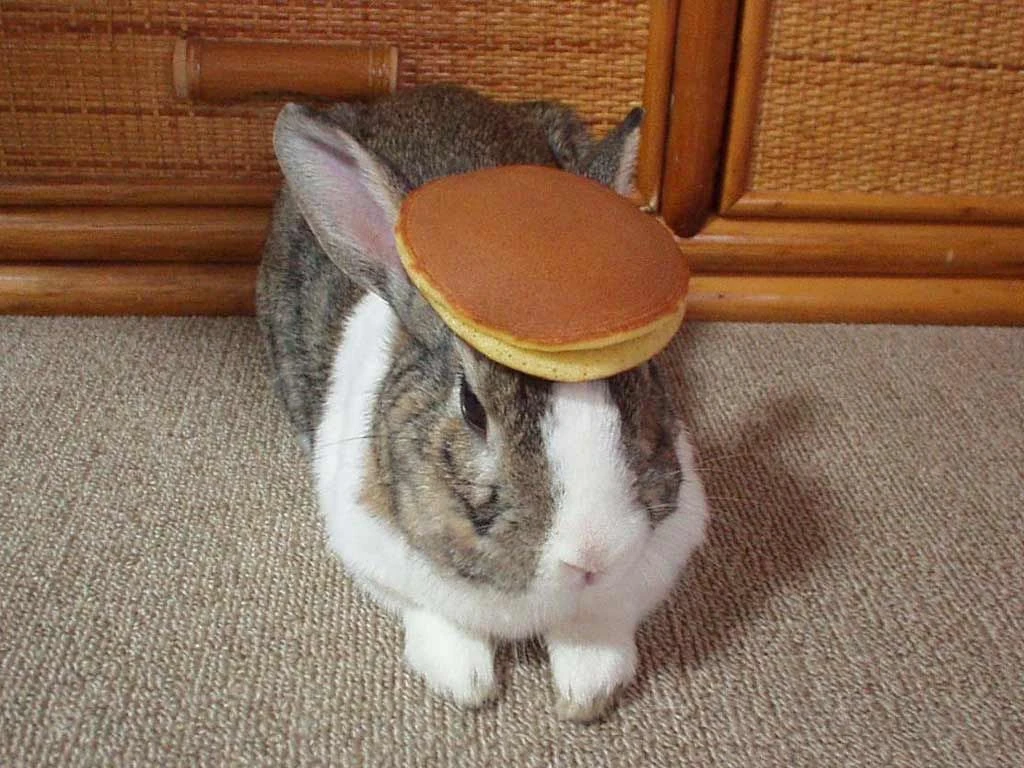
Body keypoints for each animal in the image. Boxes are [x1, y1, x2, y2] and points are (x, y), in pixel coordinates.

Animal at [256, 85, 707, 722]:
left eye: (643, 377)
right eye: (471, 406)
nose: (594, 554)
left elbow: (600, 627)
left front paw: (585, 692)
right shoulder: (373, 554)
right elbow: (438, 620)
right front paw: (465, 683)